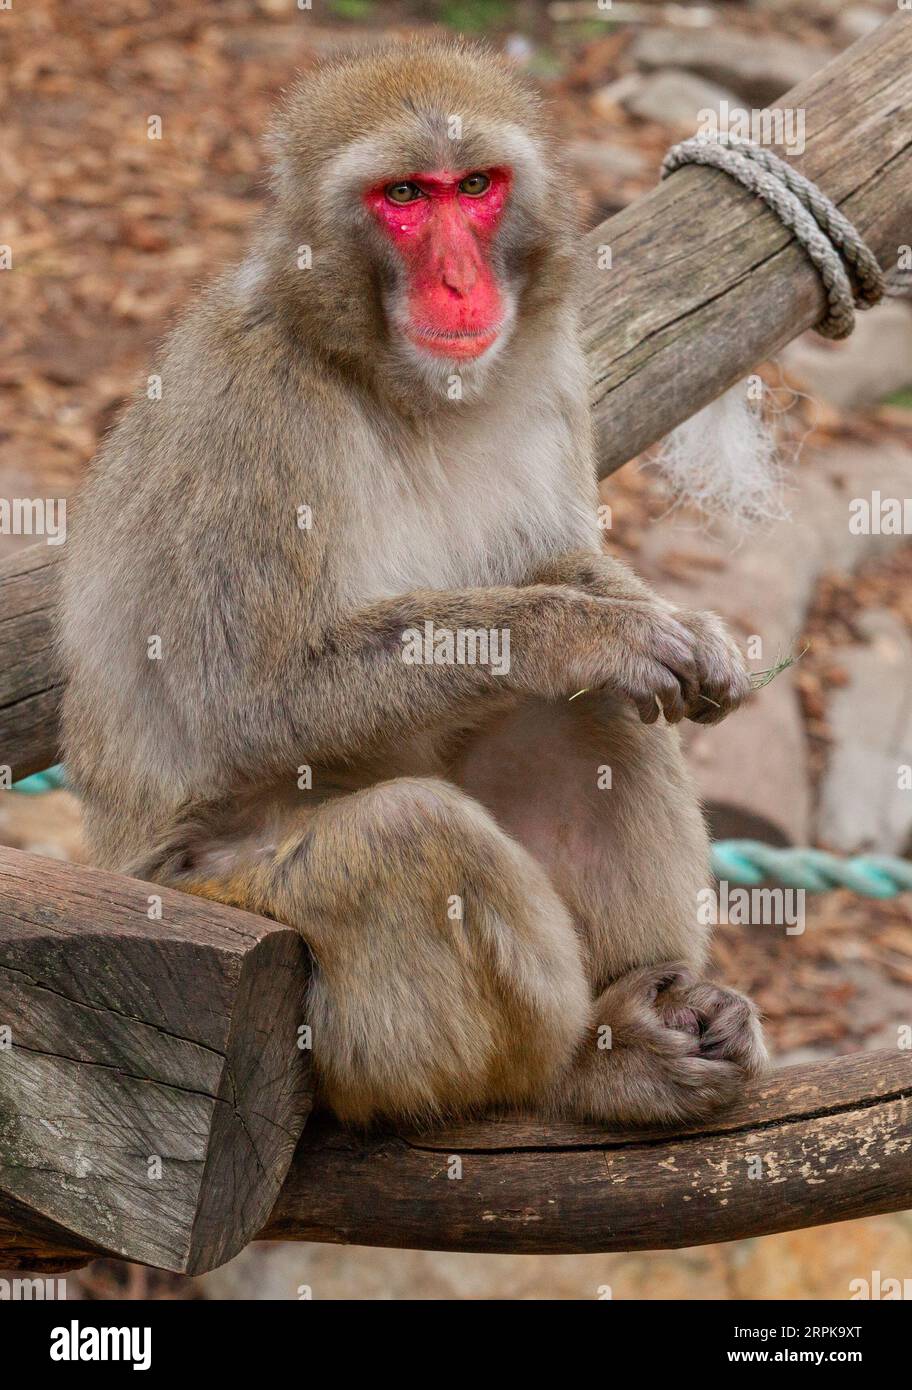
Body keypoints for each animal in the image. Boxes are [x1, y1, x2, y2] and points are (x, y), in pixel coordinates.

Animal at [59, 39, 767, 1130]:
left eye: (474, 187)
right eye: (402, 196)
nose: (460, 280)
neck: (405, 388)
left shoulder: (553, 368)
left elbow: (555, 565)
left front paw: (671, 618)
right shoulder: (251, 410)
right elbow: (246, 699)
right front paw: (584, 634)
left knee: (590, 720)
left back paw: (634, 1024)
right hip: (235, 920)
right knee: (413, 835)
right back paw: (570, 1070)